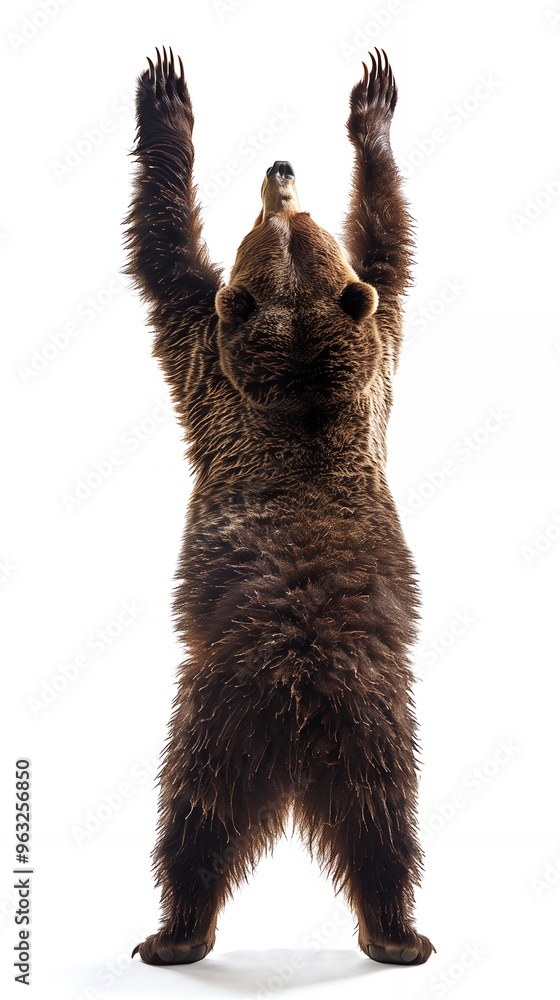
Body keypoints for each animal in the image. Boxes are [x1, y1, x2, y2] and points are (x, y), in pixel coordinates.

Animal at [125, 47, 435, 967]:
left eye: (295, 226)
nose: (282, 169)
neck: (299, 371)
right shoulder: (291, 358)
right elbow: (386, 253)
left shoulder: (232, 350)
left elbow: (168, 251)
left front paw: (170, 104)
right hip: (373, 728)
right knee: (381, 827)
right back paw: (393, 931)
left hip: (224, 720)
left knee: (195, 823)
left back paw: (181, 931)